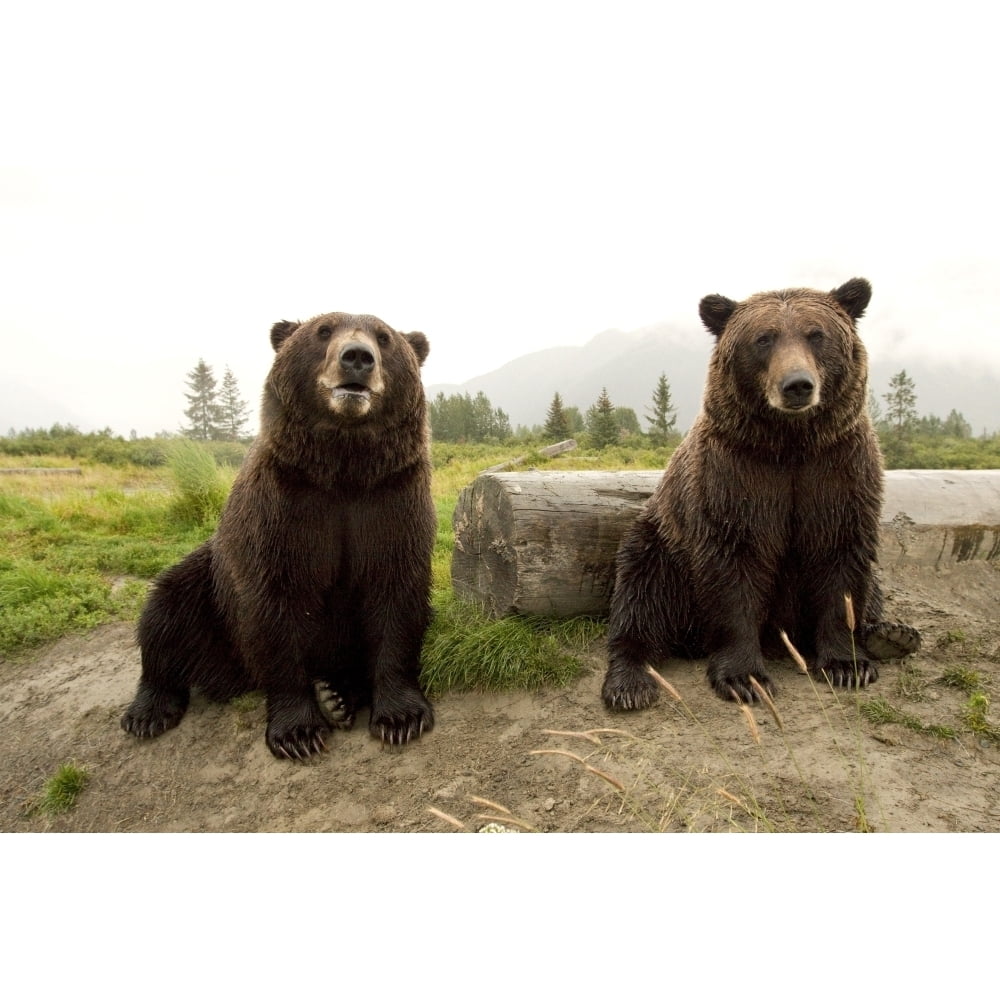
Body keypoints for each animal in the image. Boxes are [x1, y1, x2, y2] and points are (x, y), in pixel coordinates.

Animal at [121, 311, 436, 760]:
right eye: (323, 330)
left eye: (384, 338)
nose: (357, 358)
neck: (344, 468)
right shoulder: (283, 510)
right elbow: (276, 607)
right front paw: (298, 733)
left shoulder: (390, 501)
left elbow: (395, 593)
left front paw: (400, 718)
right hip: (209, 589)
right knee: (166, 609)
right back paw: (149, 710)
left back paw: (337, 696)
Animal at [602, 278, 920, 712]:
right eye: (764, 338)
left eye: (816, 334)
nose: (797, 385)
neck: (790, 443)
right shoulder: (737, 477)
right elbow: (735, 568)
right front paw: (745, 677)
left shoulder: (837, 472)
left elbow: (841, 563)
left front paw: (847, 665)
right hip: (663, 548)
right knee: (641, 594)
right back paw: (630, 682)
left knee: (873, 590)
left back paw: (890, 635)